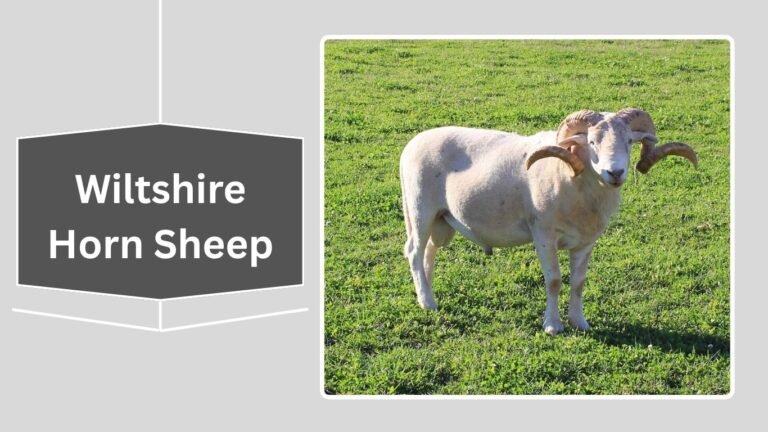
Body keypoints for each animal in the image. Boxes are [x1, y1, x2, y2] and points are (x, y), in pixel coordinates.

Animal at [399, 108, 698, 334]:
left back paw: (425, 295)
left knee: (429, 253)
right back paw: (428, 303)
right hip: (419, 209)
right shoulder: (544, 235)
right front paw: (553, 326)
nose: (615, 172)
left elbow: (578, 282)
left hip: (441, 220)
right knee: (414, 251)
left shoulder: (586, 242)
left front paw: (579, 322)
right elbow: (554, 281)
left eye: (629, 142)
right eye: (591, 143)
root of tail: (412, 144)